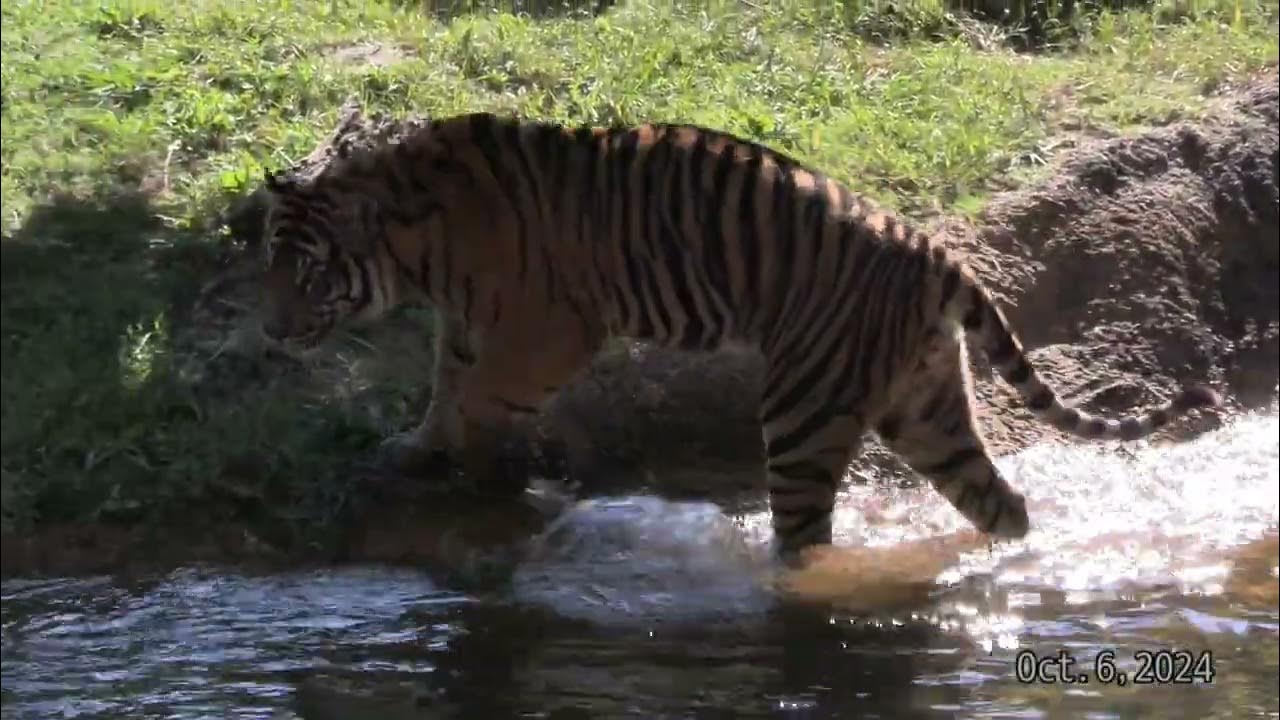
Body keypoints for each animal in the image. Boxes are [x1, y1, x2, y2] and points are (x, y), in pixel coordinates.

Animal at [258, 104, 1221, 556]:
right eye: (265, 266)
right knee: (1000, 501)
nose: (270, 335)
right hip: (925, 404)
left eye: (305, 275)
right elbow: (442, 387)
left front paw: (485, 477)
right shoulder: (466, 327)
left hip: (805, 409)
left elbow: (478, 404)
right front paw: (417, 450)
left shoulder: (546, 332)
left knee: (807, 542)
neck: (414, 239)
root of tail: (935, 252)